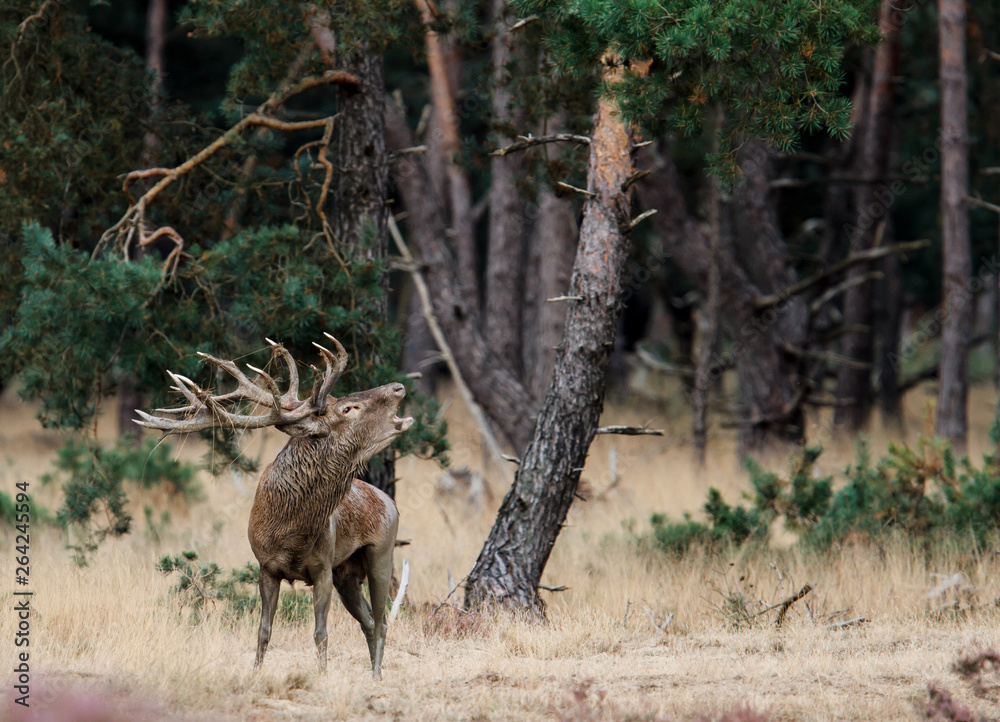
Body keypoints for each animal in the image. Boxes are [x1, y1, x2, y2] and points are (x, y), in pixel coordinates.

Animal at [135, 334, 412, 678]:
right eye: (349, 408)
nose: (398, 387)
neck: (291, 532)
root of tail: (390, 502)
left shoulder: (322, 567)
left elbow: (320, 633)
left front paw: (322, 676)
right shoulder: (266, 567)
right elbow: (263, 630)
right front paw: (254, 673)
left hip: (381, 551)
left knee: (382, 621)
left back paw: (376, 676)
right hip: (346, 573)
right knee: (371, 621)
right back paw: (375, 673)